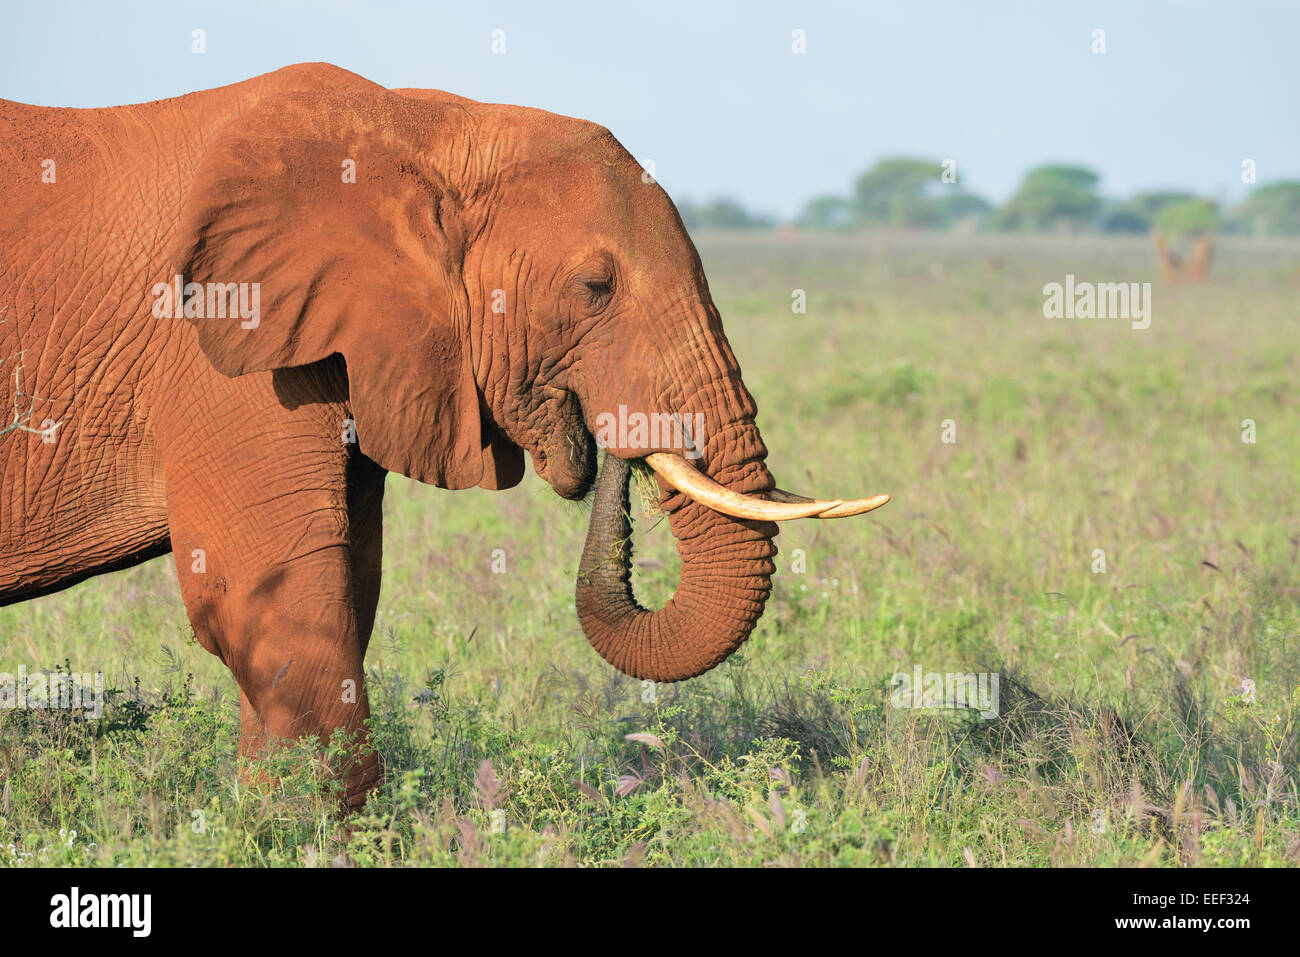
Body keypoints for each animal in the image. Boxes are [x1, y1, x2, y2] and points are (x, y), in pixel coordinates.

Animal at [0, 63, 888, 808]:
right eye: (595, 287)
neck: (425, 127)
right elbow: (276, 586)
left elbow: (348, 583)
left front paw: (275, 820)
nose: (619, 452)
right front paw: (312, 832)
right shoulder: (224, 346)